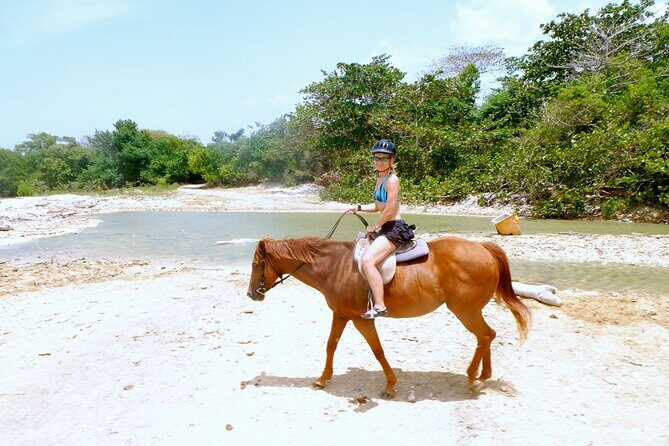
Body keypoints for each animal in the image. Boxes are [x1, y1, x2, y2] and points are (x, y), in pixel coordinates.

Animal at [246, 235, 531, 397]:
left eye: (255, 264)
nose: (251, 294)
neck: (335, 267)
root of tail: (483, 248)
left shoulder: (362, 319)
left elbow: (377, 350)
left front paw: (391, 385)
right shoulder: (341, 315)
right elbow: (331, 346)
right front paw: (323, 378)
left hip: (465, 310)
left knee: (485, 335)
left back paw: (473, 378)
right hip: (471, 311)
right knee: (488, 336)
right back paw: (483, 376)